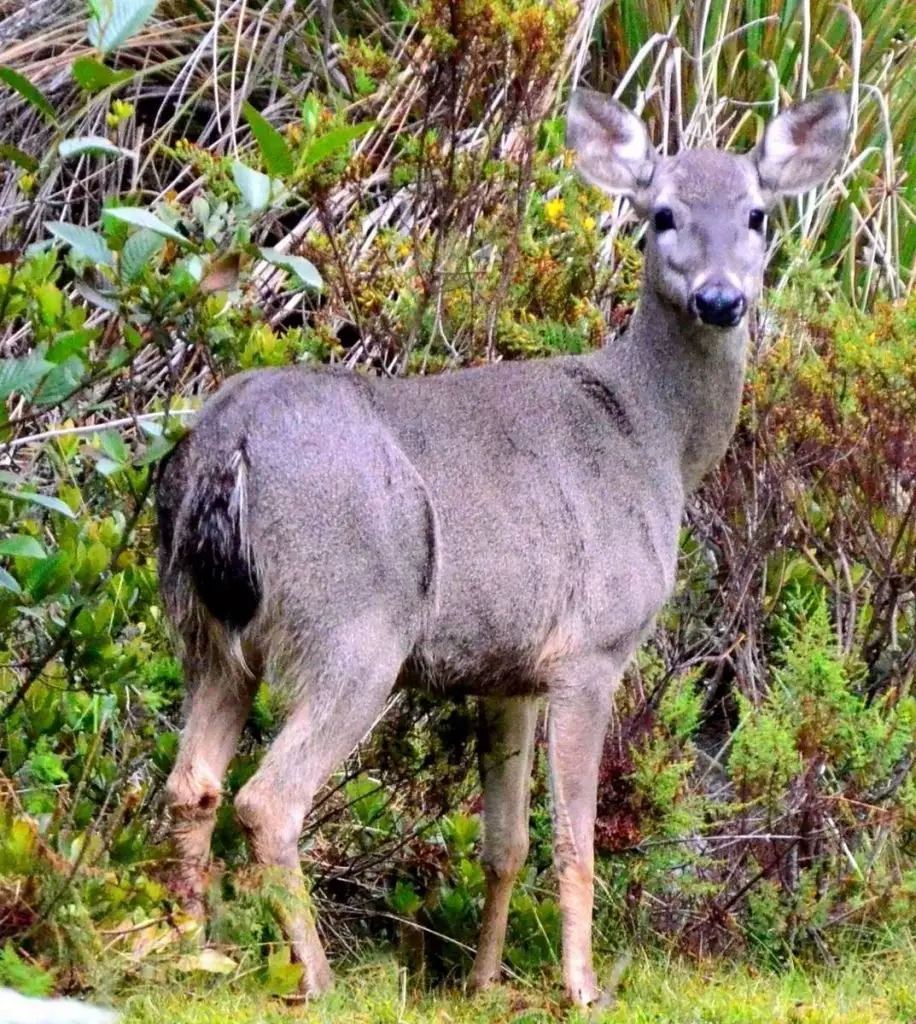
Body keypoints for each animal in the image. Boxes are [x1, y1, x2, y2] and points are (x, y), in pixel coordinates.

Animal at [153, 88, 847, 1007]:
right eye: (661, 213)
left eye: (758, 214)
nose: (721, 298)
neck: (656, 440)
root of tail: (227, 446)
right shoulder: (592, 648)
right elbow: (575, 841)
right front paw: (583, 988)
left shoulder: (505, 671)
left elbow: (504, 842)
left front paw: (483, 981)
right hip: (355, 627)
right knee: (268, 800)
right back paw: (318, 978)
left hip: (203, 631)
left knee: (190, 783)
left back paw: (192, 952)